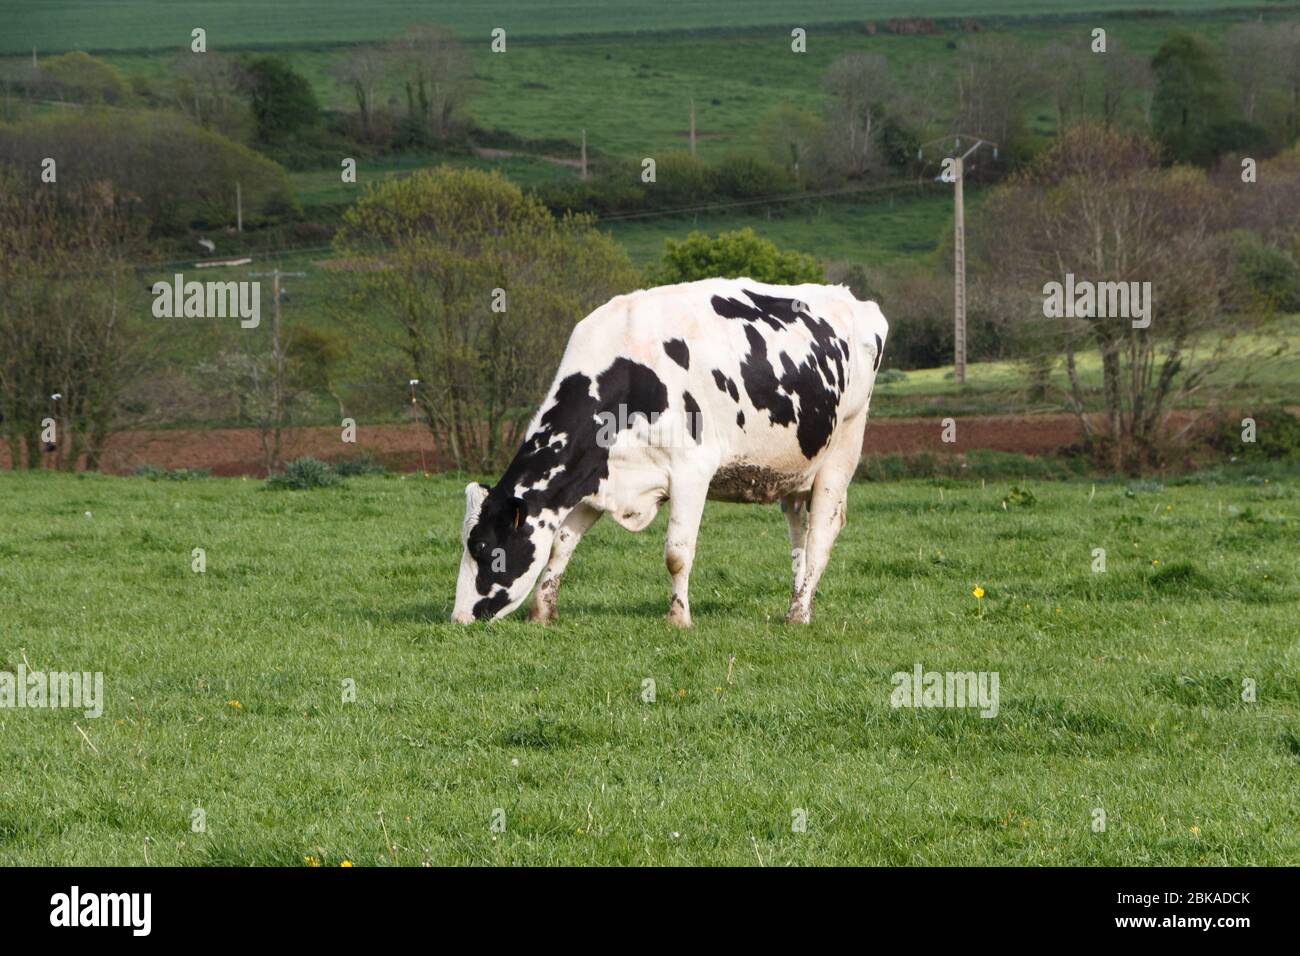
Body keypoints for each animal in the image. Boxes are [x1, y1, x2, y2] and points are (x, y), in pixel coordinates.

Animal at [452, 277, 888, 627]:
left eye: (482, 547)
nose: (458, 618)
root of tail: (853, 299)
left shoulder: (692, 470)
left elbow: (677, 553)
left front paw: (679, 618)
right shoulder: (595, 476)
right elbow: (560, 544)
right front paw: (542, 613)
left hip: (844, 447)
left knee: (822, 532)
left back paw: (798, 615)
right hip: (795, 466)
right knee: (800, 533)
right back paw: (799, 604)